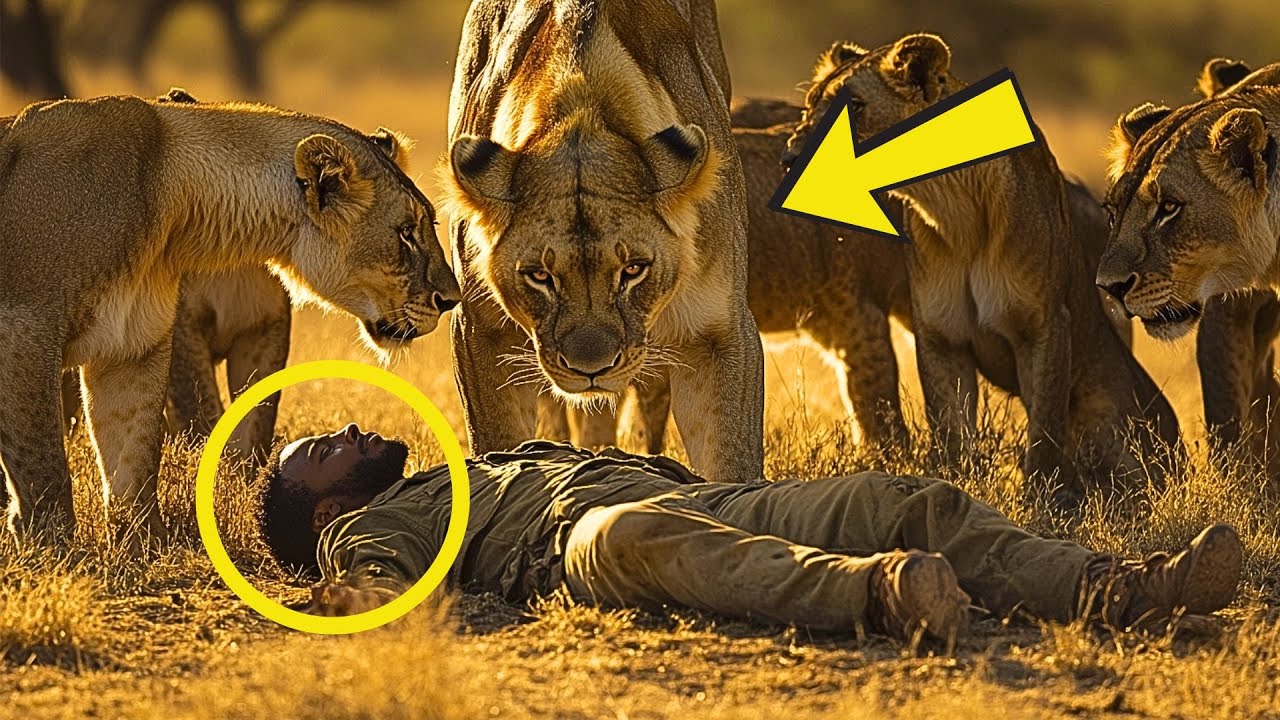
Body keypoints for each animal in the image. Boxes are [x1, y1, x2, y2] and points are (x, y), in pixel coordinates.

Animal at [0, 94, 461, 536]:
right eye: (405, 232)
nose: (452, 299)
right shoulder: (23, 326)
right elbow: (44, 469)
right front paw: (55, 546)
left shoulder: (131, 349)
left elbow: (133, 463)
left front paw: (144, 546)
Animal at [441, 0, 764, 482]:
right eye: (539, 277)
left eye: (633, 270)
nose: (590, 369)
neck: (583, 103)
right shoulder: (481, 329)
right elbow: (497, 441)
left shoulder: (718, 330)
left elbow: (732, 458)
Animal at [783, 35, 1179, 499]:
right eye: (808, 106)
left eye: (854, 106)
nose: (790, 158)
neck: (953, 206)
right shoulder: (941, 335)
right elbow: (951, 431)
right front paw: (954, 486)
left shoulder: (1043, 327)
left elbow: (1044, 433)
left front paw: (1044, 502)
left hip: (1105, 405)